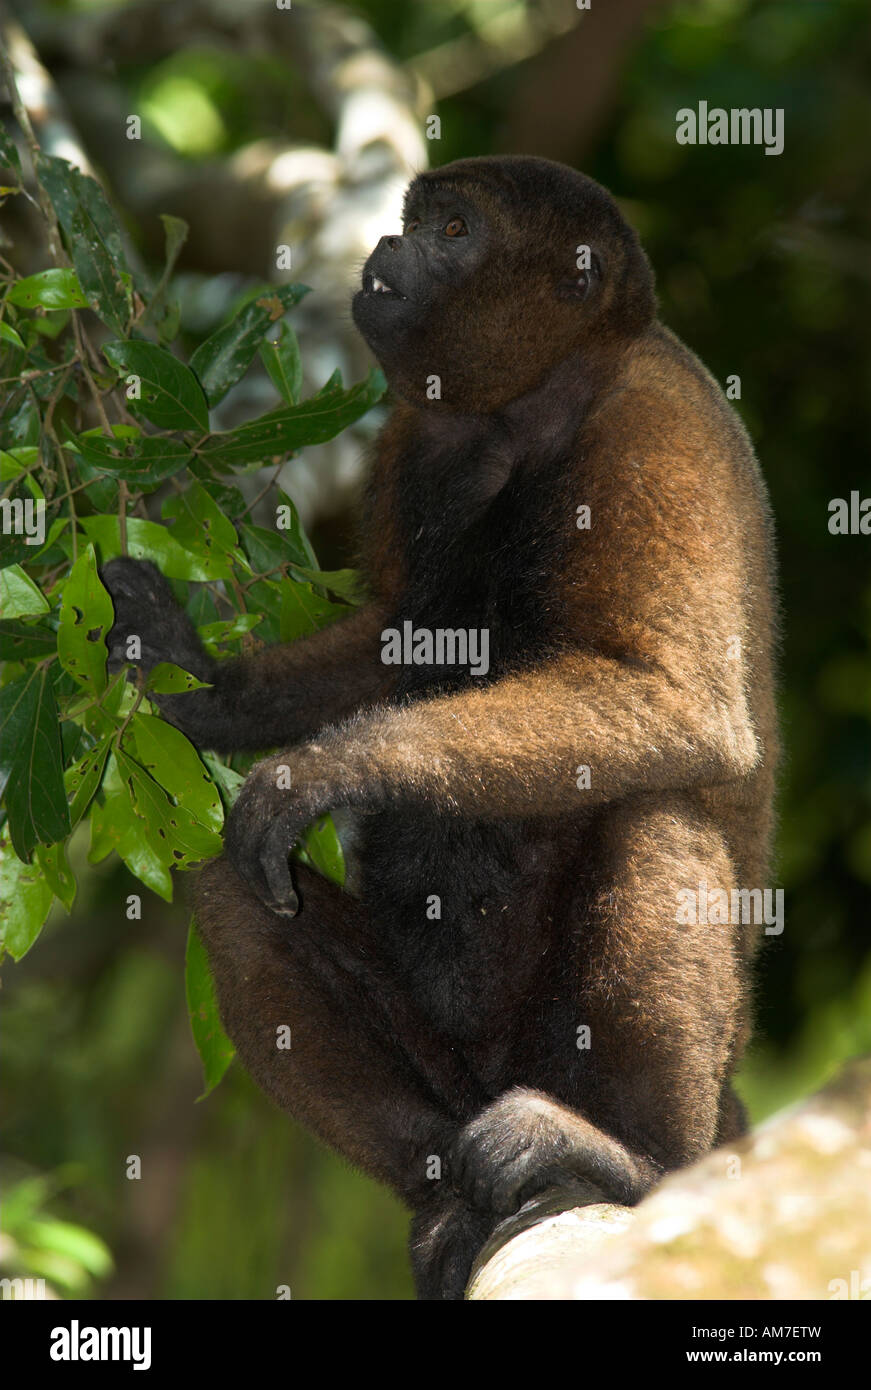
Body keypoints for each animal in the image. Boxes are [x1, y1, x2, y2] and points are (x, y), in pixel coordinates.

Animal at [102, 155, 778, 1300]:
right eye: (415, 219)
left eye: (453, 230)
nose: (386, 245)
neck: (524, 412)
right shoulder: (416, 440)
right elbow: (387, 641)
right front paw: (203, 685)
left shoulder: (654, 428)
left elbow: (682, 704)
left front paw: (320, 775)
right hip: (458, 1074)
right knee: (234, 890)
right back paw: (435, 1187)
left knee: (655, 810)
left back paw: (635, 1158)